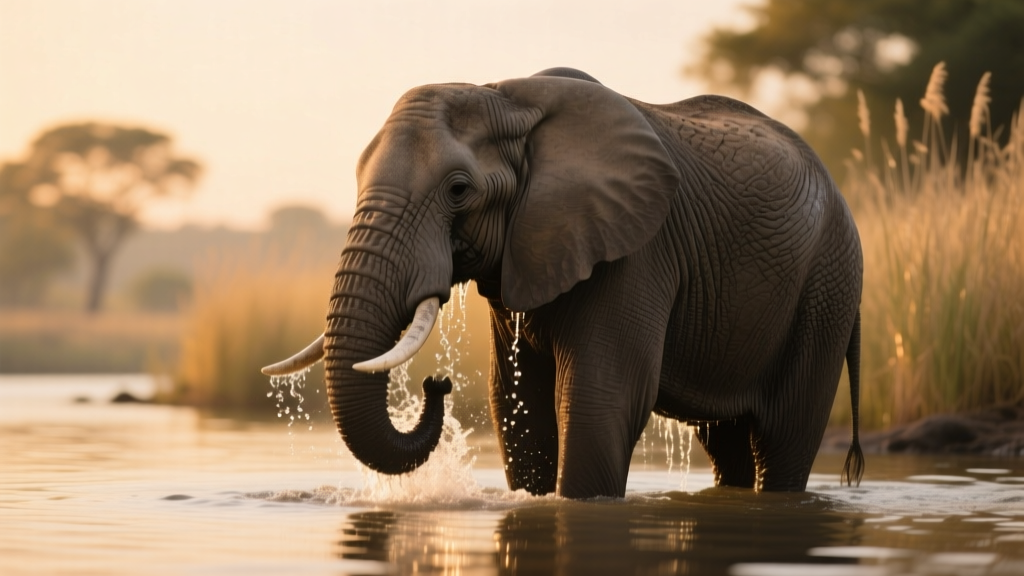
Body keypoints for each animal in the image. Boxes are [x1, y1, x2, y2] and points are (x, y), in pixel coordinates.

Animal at [264, 67, 865, 499]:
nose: (438, 383)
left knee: (783, 437)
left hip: (828, 286)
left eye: (458, 190)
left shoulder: (635, 253)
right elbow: (517, 404)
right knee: (729, 444)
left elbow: (602, 400)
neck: (508, 96)